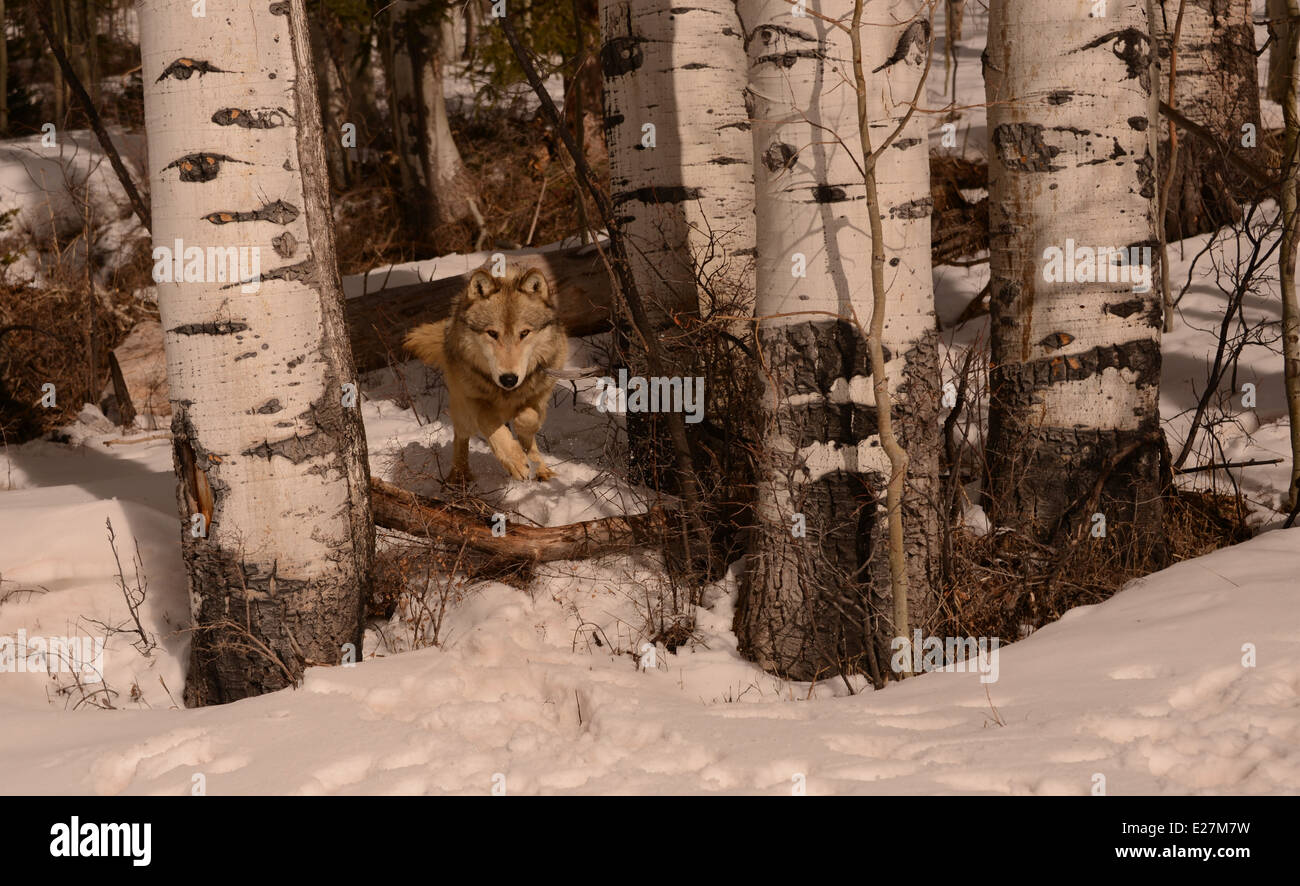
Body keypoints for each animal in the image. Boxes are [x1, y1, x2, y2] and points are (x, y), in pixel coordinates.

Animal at [404, 266, 568, 483]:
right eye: (492, 333)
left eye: (524, 333)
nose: (509, 379)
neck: (506, 393)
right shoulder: (473, 399)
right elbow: (490, 423)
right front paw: (515, 461)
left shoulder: (540, 396)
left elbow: (528, 419)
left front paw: (523, 434)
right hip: (462, 411)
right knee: (460, 436)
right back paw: (459, 475)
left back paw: (541, 470)